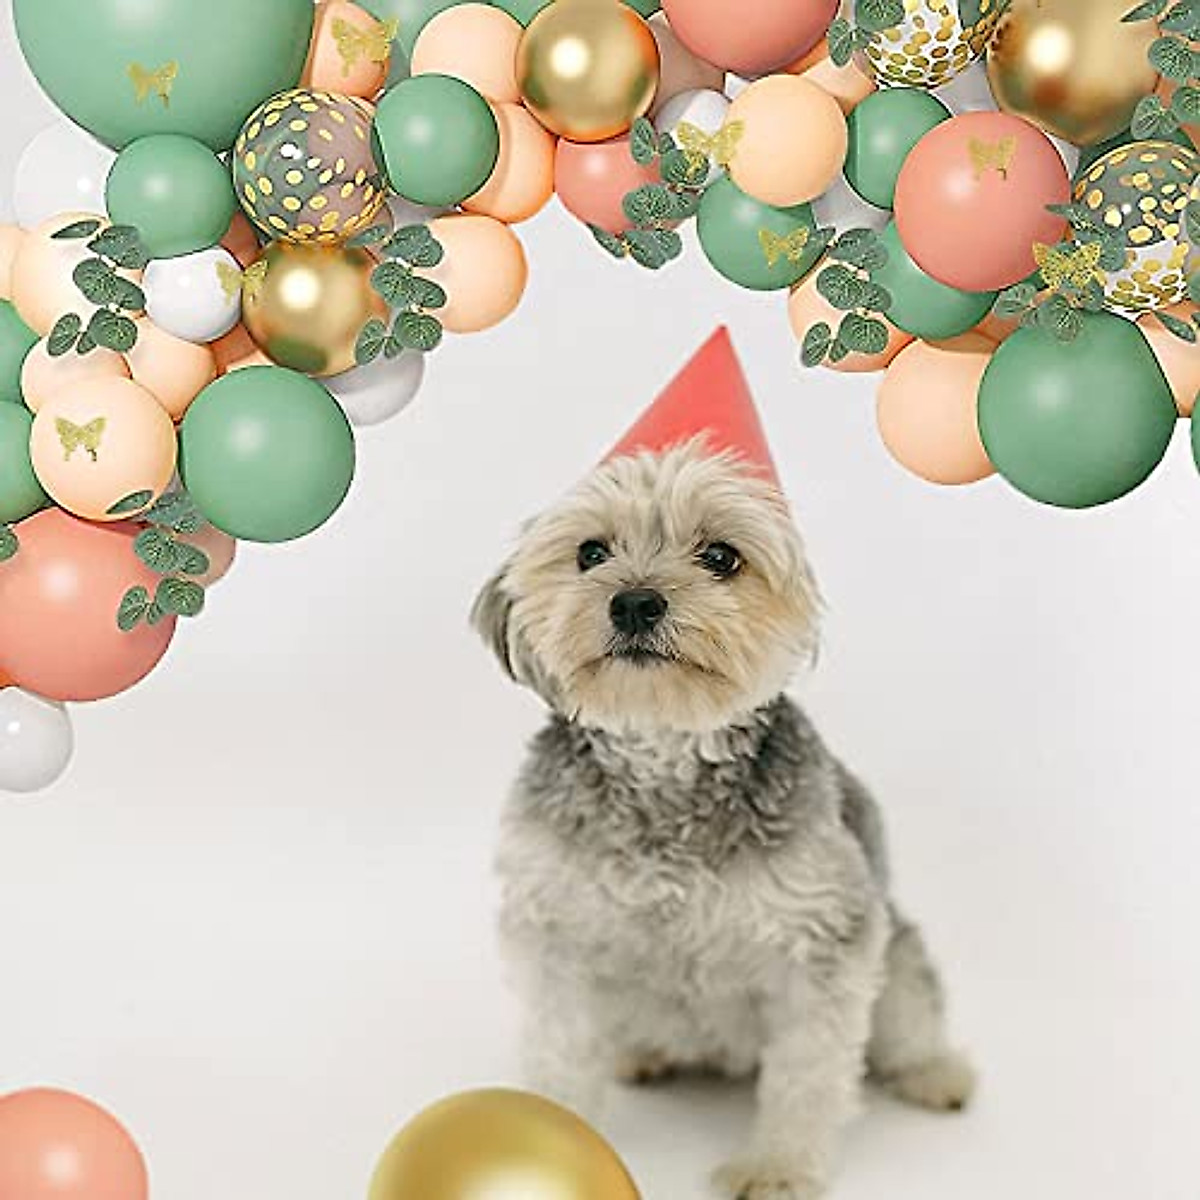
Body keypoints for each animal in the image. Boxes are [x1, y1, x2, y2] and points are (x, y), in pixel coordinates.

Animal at [472, 434, 974, 1200]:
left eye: (720, 557)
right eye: (590, 552)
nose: (635, 602)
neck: (663, 765)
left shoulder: (824, 943)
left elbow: (806, 1076)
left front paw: (779, 1167)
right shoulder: (552, 936)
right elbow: (559, 1052)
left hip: (897, 956)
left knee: (912, 1018)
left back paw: (935, 1073)